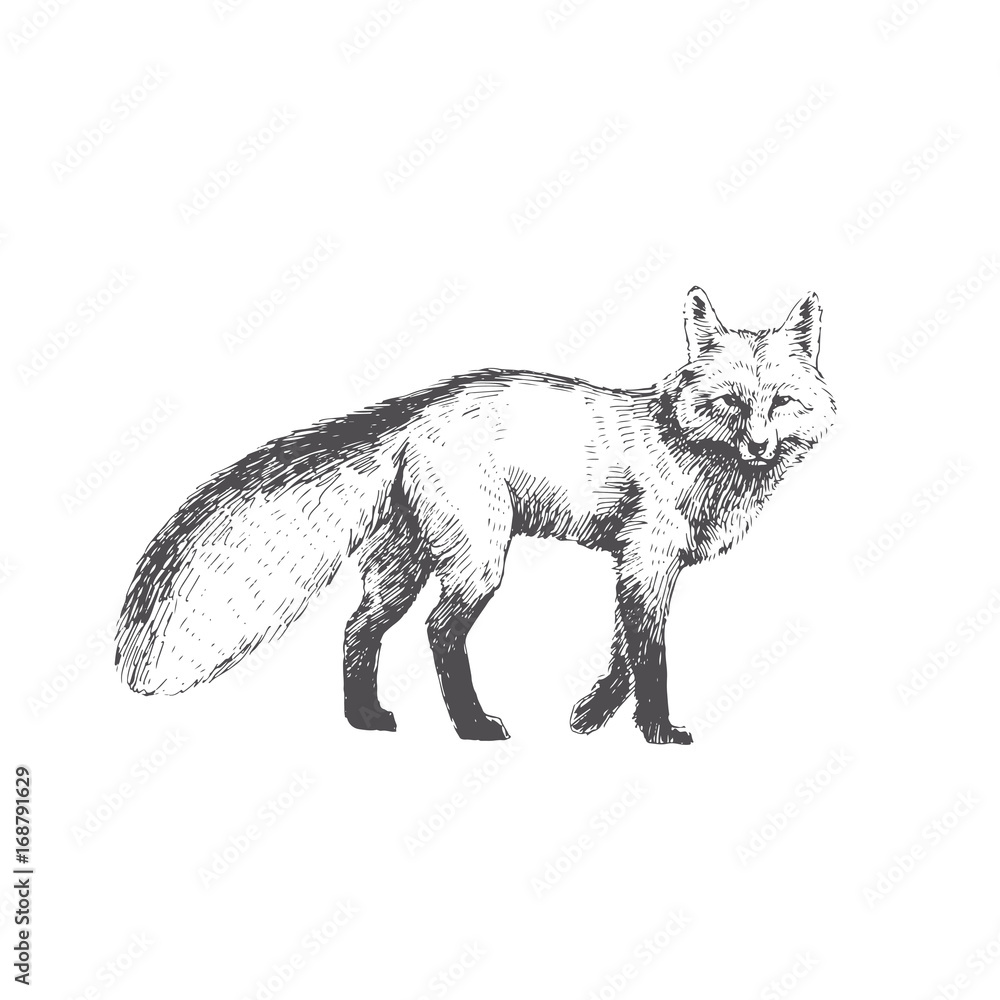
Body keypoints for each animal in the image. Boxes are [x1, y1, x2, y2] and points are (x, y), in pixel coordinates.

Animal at [116, 286, 835, 744]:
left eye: (781, 402)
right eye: (732, 402)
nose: (759, 446)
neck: (687, 448)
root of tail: (422, 403)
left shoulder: (636, 568)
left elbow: (622, 653)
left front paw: (591, 714)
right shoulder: (646, 562)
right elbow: (650, 661)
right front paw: (656, 730)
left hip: (402, 569)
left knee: (357, 629)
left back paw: (365, 717)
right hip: (478, 562)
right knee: (439, 631)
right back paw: (471, 726)